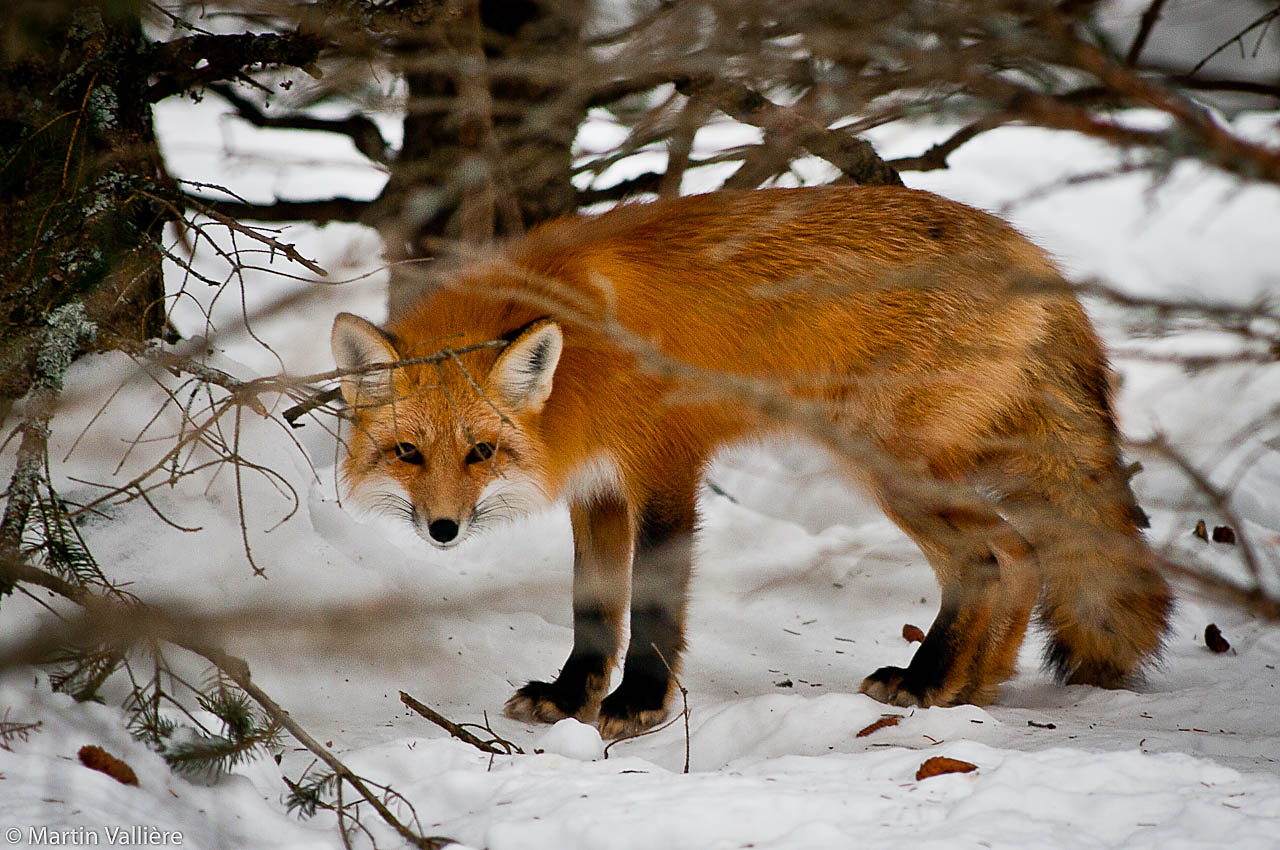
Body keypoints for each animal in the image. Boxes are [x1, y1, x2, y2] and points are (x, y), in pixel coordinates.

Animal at [330, 185, 1173, 739]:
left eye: (480, 452)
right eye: (409, 453)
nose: (442, 530)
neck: (581, 361)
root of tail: (1032, 253)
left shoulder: (665, 466)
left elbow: (654, 603)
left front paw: (638, 705)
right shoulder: (597, 487)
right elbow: (594, 606)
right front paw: (570, 696)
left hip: (887, 467)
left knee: (995, 557)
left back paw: (930, 679)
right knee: (1021, 553)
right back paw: (971, 686)